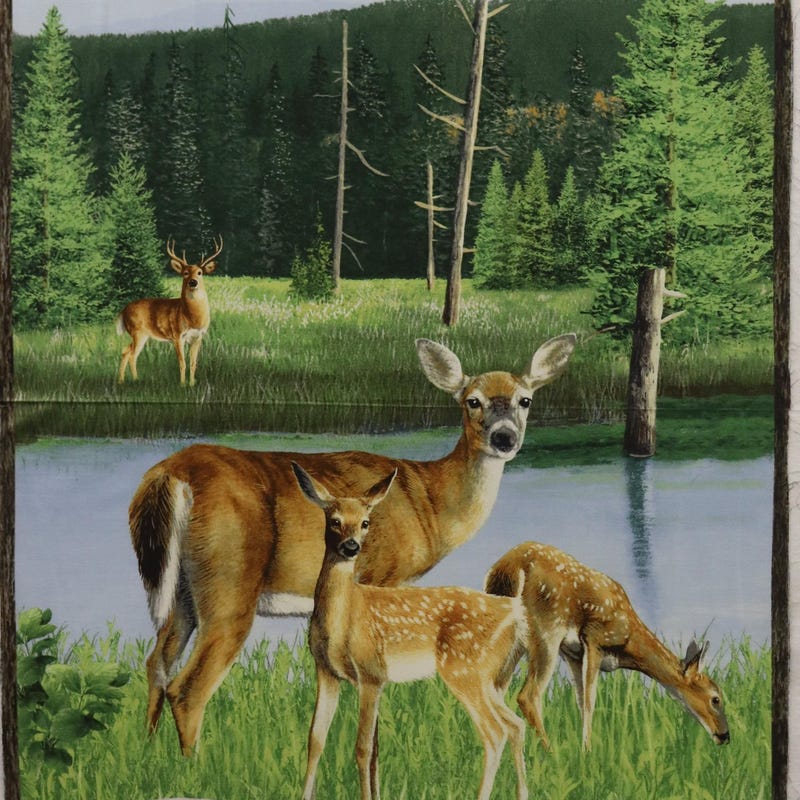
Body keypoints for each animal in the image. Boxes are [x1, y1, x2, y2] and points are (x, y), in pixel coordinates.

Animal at [116, 236, 222, 386]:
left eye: (200, 272)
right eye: (185, 273)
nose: (193, 282)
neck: (192, 318)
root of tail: (123, 310)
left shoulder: (198, 337)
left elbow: (193, 363)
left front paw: (192, 384)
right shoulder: (177, 335)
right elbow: (182, 363)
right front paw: (182, 385)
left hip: (141, 334)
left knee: (126, 351)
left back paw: (121, 380)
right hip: (138, 332)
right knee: (132, 355)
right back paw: (135, 380)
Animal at [128, 333, 576, 755]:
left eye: (525, 400)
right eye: (473, 401)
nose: (504, 438)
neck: (429, 502)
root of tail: (171, 474)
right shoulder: (383, 579)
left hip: (182, 592)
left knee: (156, 666)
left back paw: (151, 755)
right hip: (230, 580)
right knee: (188, 688)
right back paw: (194, 767)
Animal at [292, 462, 529, 800]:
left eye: (365, 523)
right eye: (334, 520)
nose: (351, 547)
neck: (342, 620)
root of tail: (514, 614)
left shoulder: (372, 672)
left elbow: (363, 748)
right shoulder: (326, 672)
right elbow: (315, 741)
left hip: (465, 669)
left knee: (495, 732)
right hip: (491, 678)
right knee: (516, 725)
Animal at [483, 541, 730, 752]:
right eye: (715, 698)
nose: (725, 735)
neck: (627, 642)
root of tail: (508, 567)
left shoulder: (573, 654)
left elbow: (580, 700)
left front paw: (584, 749)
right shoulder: (594, 640)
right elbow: (590, 701)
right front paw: (587, 752)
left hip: (514, 640)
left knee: (495, 688)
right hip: (546, 629)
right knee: (528, 695)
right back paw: (549, 752)